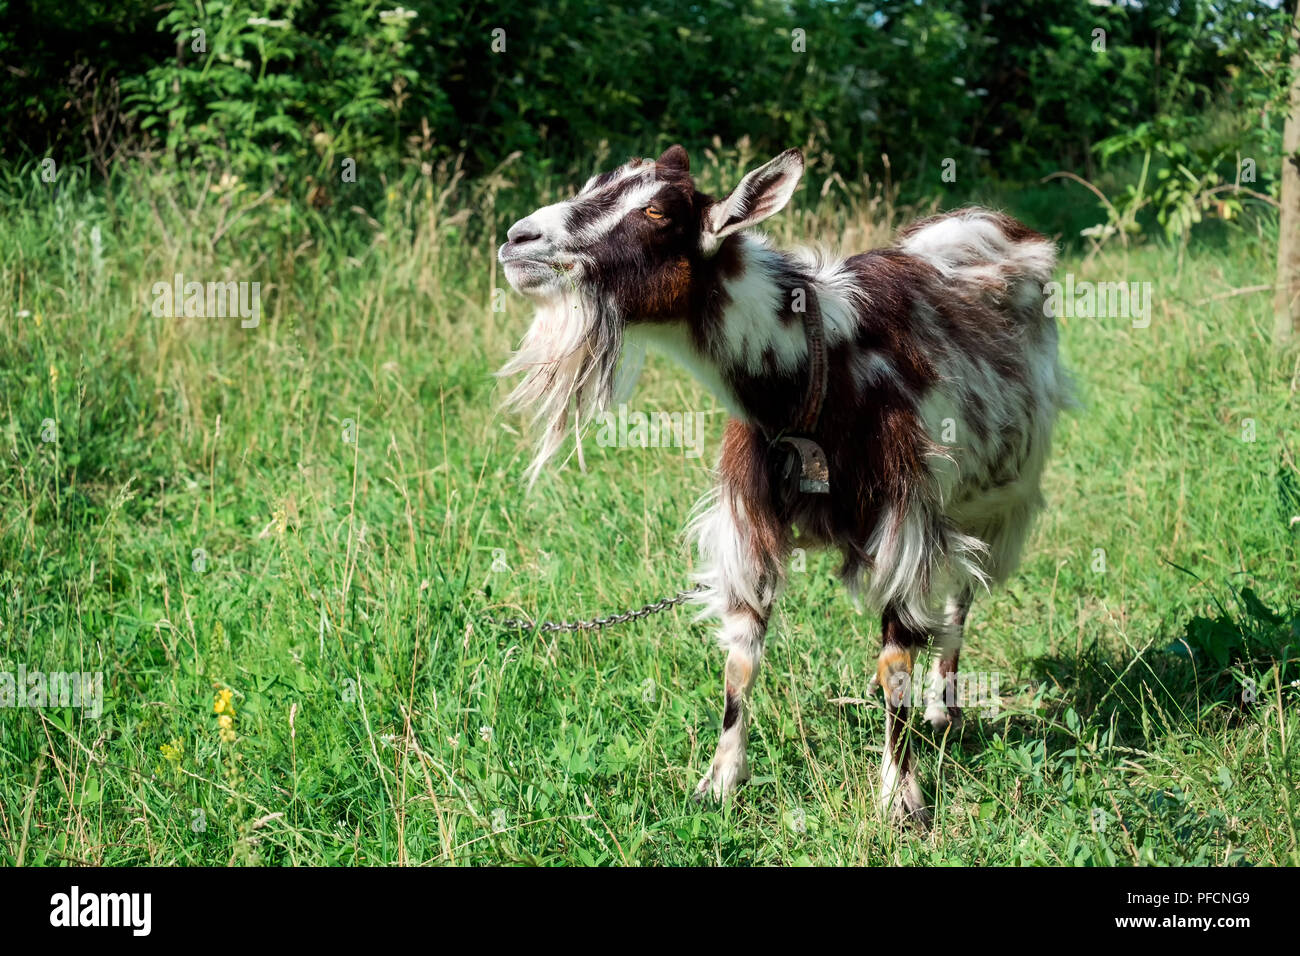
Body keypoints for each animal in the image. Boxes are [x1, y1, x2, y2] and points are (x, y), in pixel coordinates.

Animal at [497, 144, 1070, 822]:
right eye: (596, 183)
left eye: (659, 212)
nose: (517, 239)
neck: (815, 372)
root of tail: (994, 221)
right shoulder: (749, 518)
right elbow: (740, 660)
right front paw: (719, 782)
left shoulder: (906, 519)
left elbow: (895, 661)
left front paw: (899, 801)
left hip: (994, 499)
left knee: (960, 598)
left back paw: (943, 707)